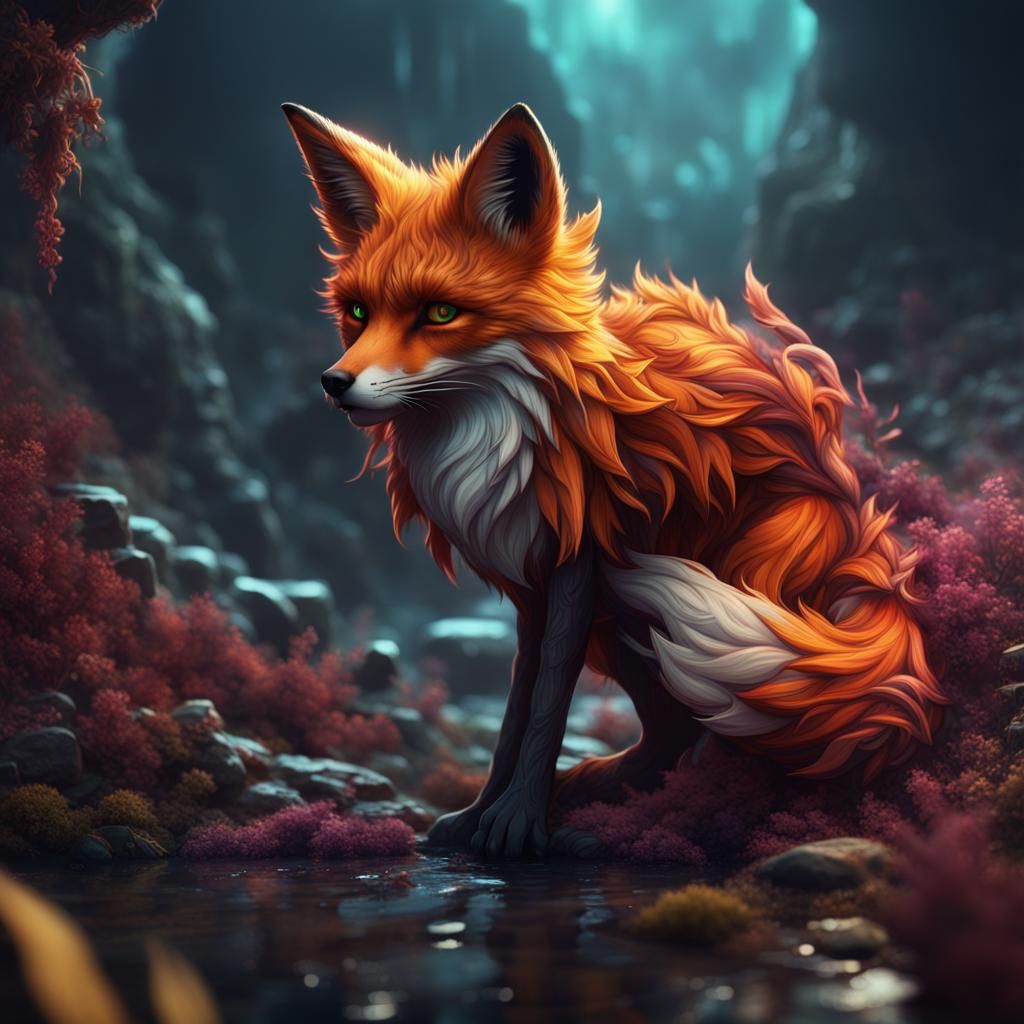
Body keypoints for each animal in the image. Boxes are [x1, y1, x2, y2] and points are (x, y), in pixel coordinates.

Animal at [282, 101, 947, 858]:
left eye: (441, 313)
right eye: (358, 312)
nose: (335, 383)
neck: (502, 435)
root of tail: (869, 541)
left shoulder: (584, 558)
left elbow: (547, 706)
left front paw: (517, 823)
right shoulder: (532, 577)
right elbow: (517, 707)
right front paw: (481, 814)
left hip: (724, 579)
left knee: (762, 731)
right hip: (631, 624)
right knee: (671, 734)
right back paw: (600, 789)